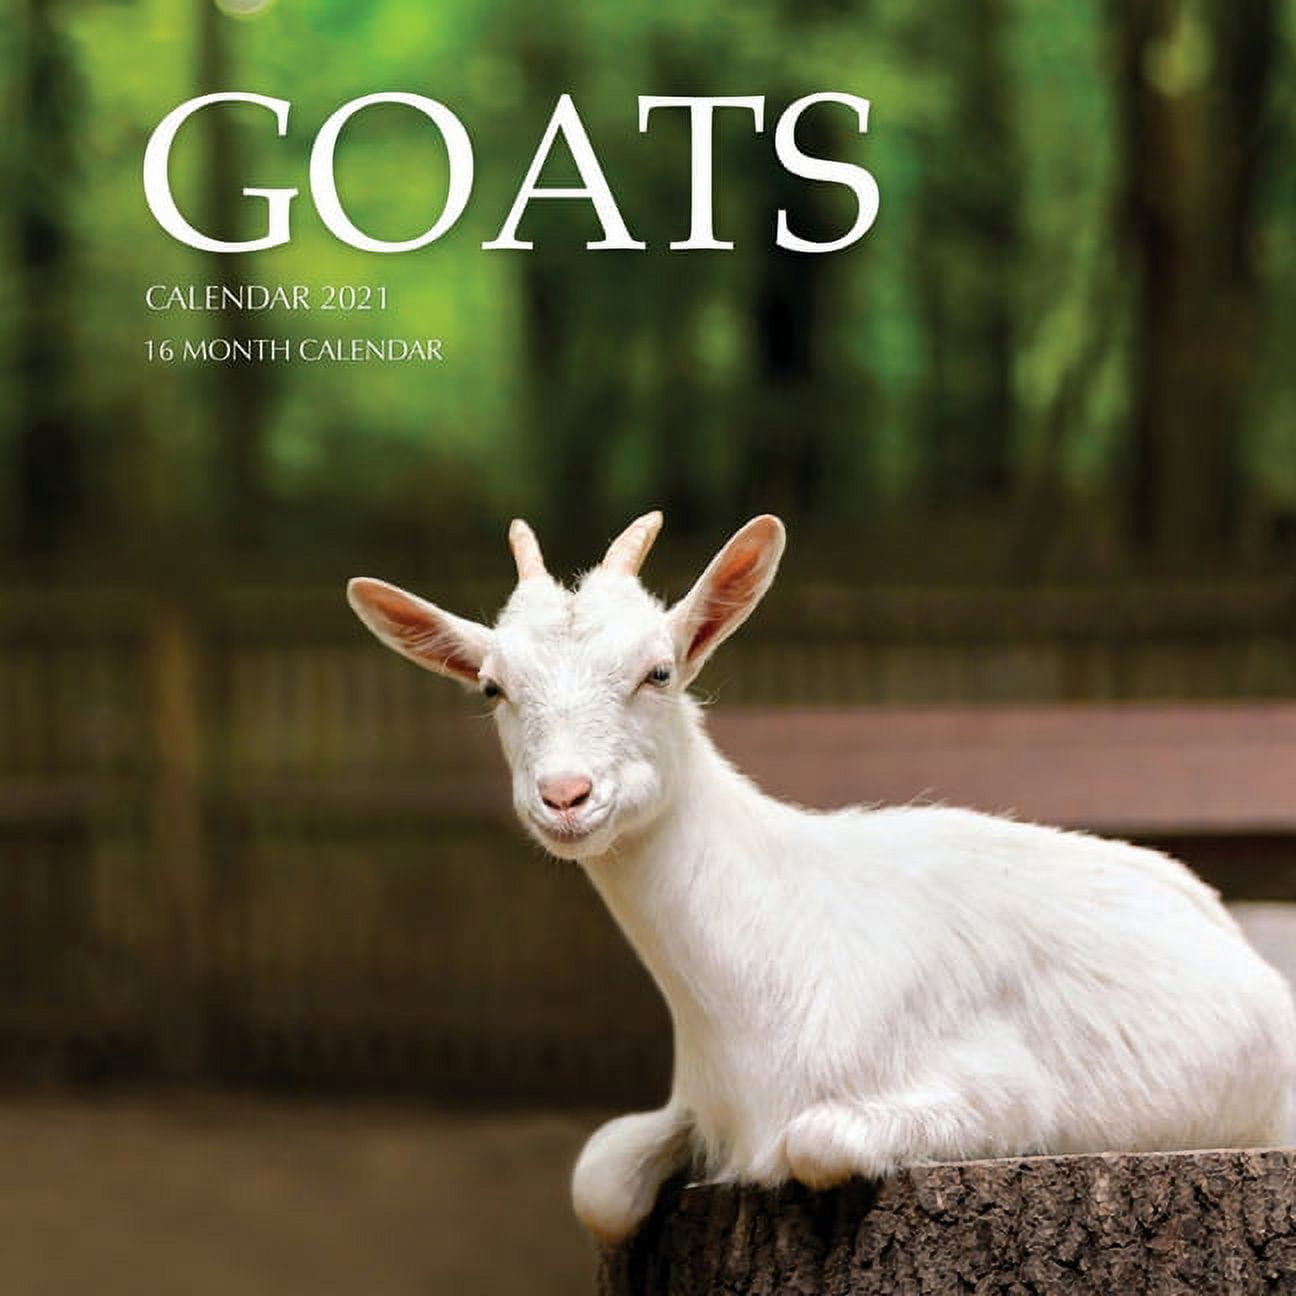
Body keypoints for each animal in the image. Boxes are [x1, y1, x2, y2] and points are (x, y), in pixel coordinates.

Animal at [347, 512, 1296, 1244]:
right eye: (492, 688)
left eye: (659, 671)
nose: (565, 796)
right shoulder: (696, 1099)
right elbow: (599, 1178)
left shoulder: (1006, 1098)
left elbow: (814, 1144)